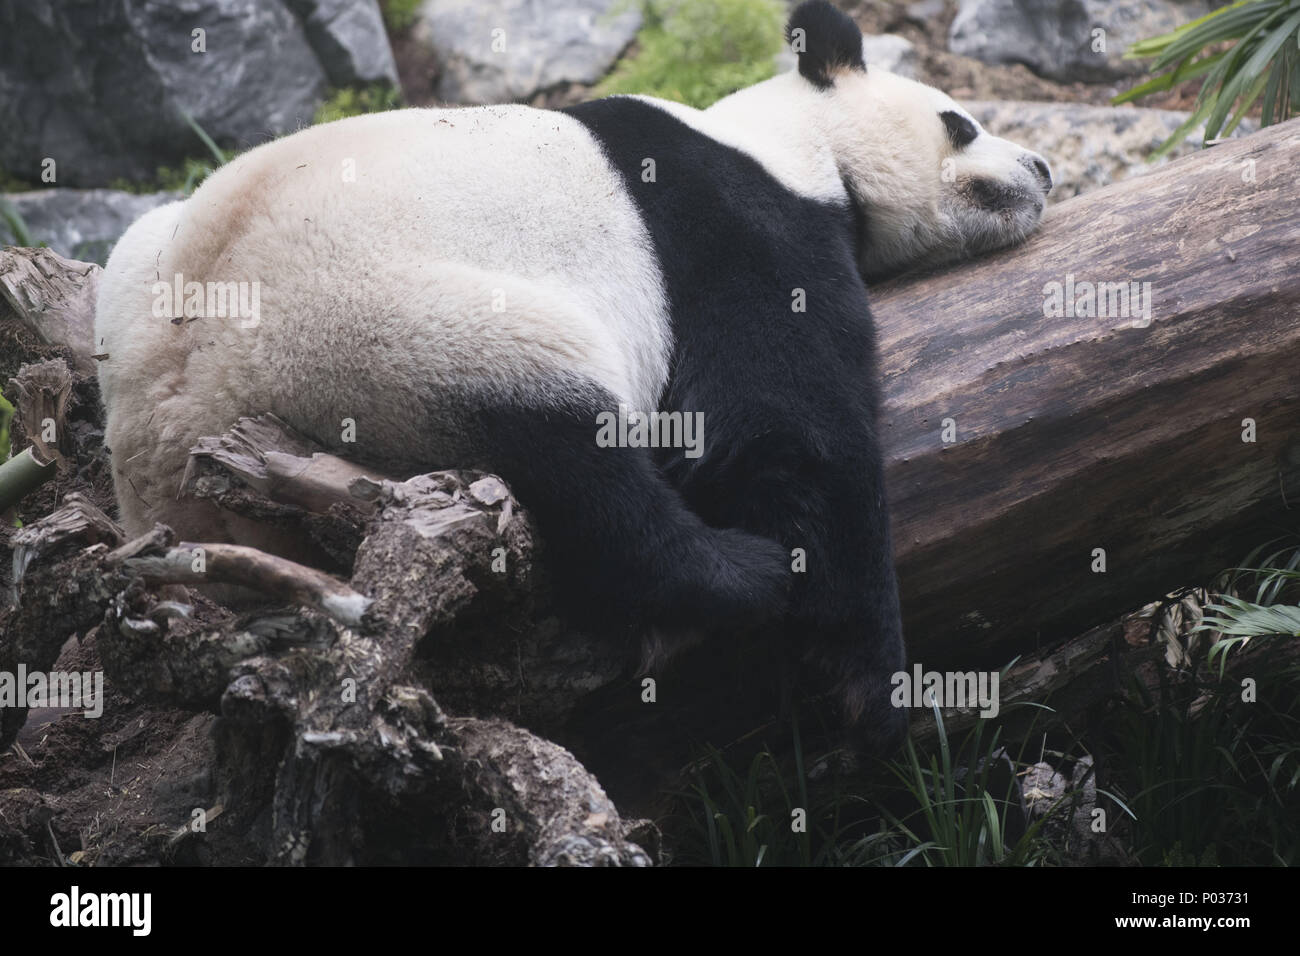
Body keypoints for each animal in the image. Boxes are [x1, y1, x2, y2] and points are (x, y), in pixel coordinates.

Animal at [94, 0, 1051, 753]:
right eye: (960, 122)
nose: (1042, 168)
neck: (781, 141)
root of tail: (163, 451)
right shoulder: (725, 227)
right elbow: (786, 425)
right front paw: (872, 686)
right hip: (377, 334)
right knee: (572, 453)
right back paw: (735, 570)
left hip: (151, 269)